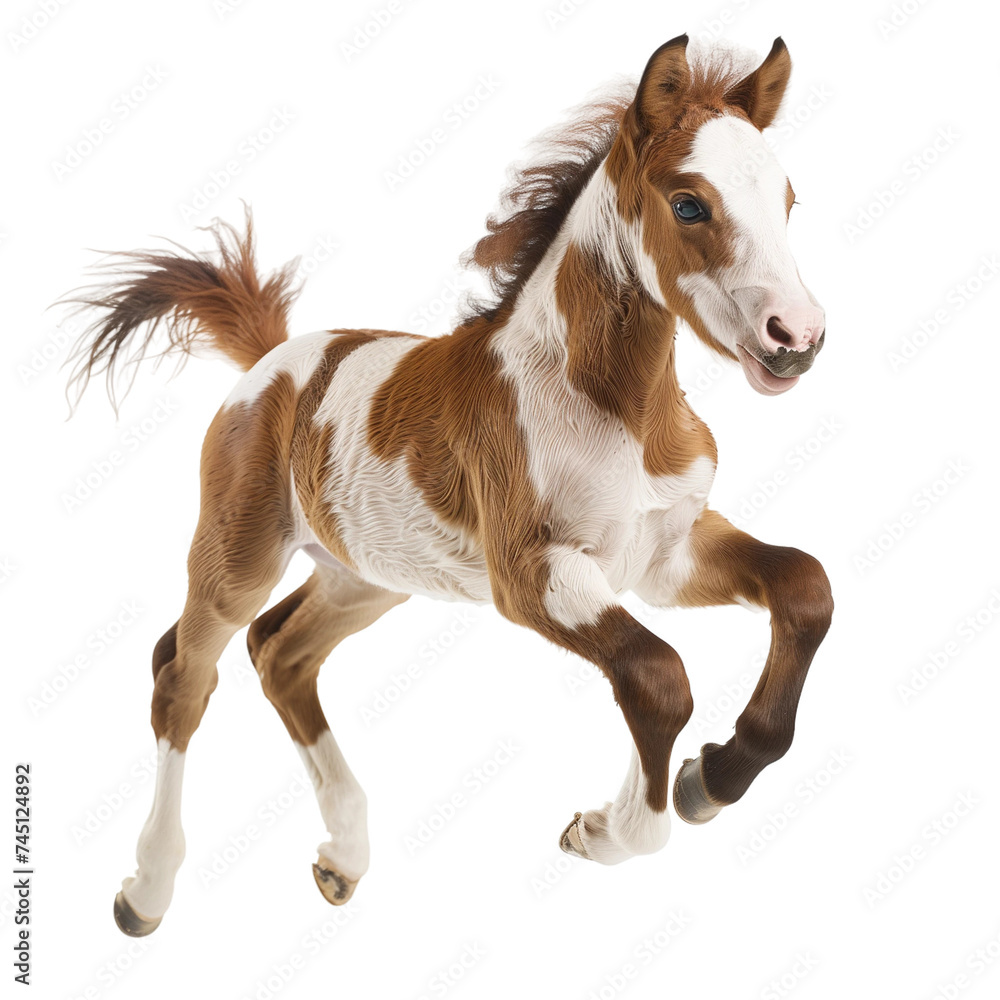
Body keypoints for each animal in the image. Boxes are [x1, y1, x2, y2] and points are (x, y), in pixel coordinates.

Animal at [65, 34, 833, 937]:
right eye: (688, 205)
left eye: (787, 200)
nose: (798, 339)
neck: (615, 409)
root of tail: (272, 361)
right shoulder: (532, 574)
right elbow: (658, 675)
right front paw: (607, 830)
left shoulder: (664, 556)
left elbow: (805, 587)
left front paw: (713, 777)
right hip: (237, 555)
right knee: (185, 674)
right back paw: (146, 892)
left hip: (365, 576)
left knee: (279, 653)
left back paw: (343, 856)